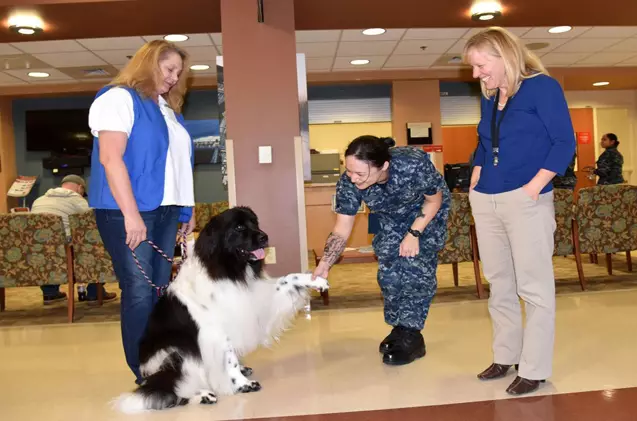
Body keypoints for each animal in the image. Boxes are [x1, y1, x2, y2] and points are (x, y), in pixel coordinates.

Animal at [113, 205, 328, 412]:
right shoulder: (215, 331)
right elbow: (230, 358)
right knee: (172, 389)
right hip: (176, 350)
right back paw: (202, 395)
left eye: (255, 222)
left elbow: (287, 279)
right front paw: (242, 384)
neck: (228, 268)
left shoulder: (255, 298)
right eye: (239, 227)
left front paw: (316, 279)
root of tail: (149, 377)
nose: (264, 236)